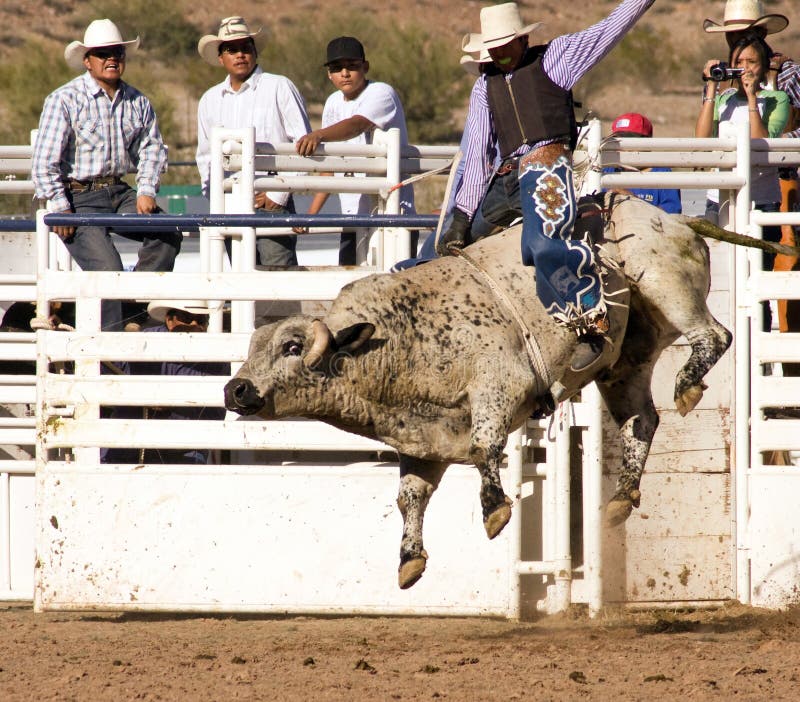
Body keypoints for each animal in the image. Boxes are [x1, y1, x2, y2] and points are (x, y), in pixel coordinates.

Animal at [224, 194, 732, 589]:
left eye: (292, 347)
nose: (236, 389)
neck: (397, 341)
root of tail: (674, 219)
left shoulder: (499, 385)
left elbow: (484, 445)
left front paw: (495, 509)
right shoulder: (423, 442)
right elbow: (410, 496)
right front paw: (410, 560)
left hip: (665, 286)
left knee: (715, 336)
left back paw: (688, 385)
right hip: (627, 359)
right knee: (642, 419)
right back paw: (622, 497)